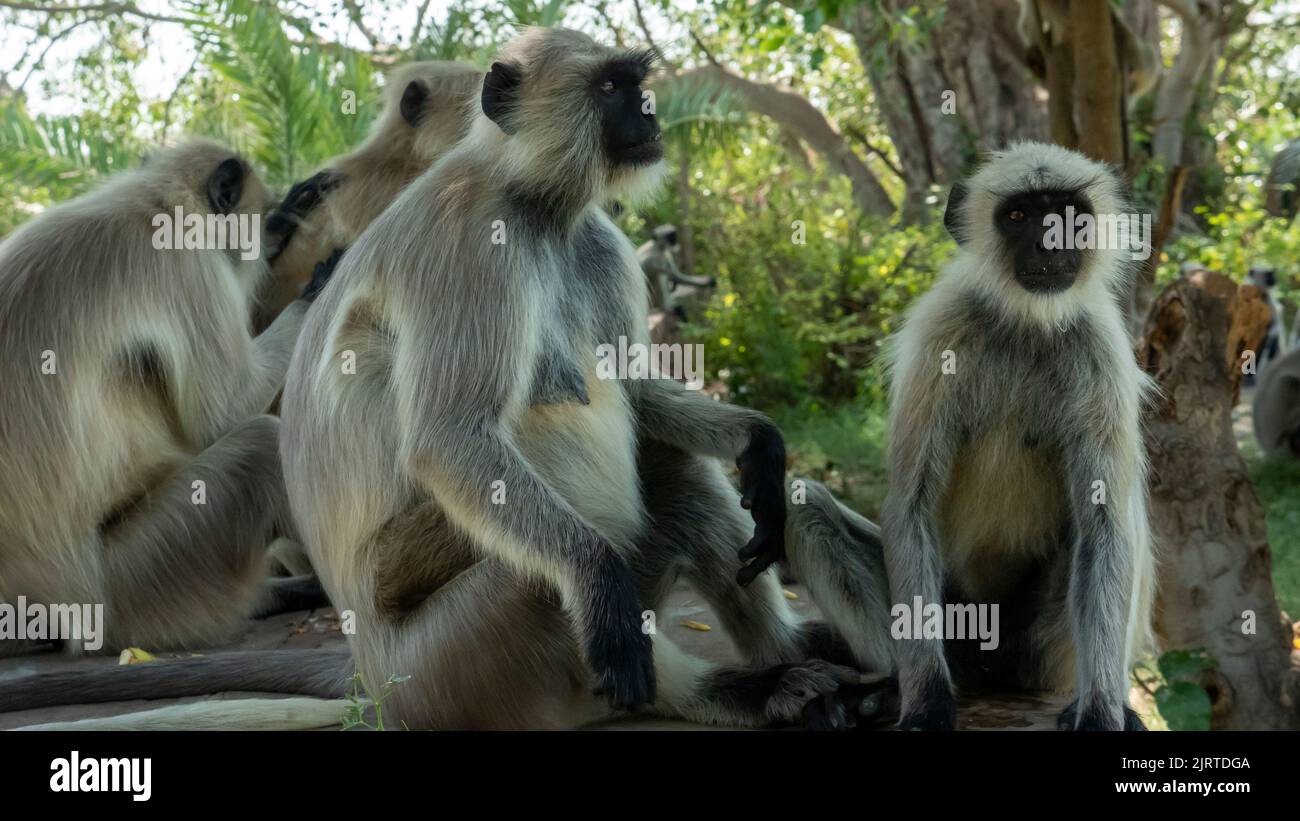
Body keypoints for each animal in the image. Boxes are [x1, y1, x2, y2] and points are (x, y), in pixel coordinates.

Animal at [0, 139, 331, 659]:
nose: (257, 239)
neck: (156, 204)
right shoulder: (188, 266)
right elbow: (222, 412)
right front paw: (316, 287)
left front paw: (285, 223)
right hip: (140, 581)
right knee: (259, 448)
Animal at [881, 142, 1156, 731]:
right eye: (1019, 216)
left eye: (1068, 215)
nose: (1050, 241)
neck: (1027, 322)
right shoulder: (941, 330)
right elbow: (910, 506)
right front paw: (926, 702)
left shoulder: (1100, 350)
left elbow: (1105, 525)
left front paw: (1100, 713)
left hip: (1048, 652)